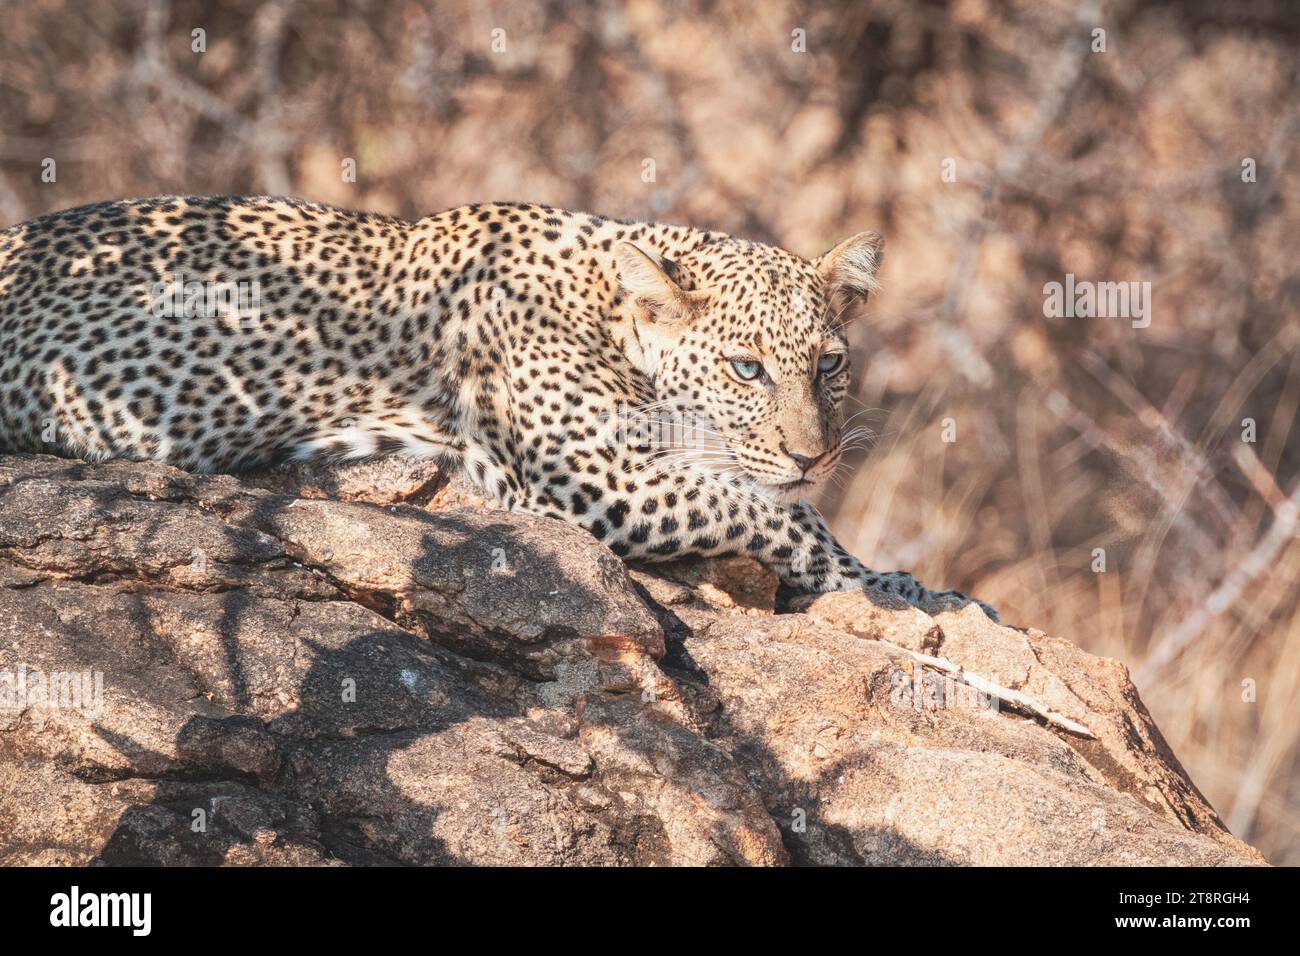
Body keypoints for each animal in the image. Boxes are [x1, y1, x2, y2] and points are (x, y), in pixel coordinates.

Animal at [0, 195, 996, 619]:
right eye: (746, 369)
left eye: (830, 365)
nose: (813, 456)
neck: (603, 298)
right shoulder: (590, 477)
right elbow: (777, 517)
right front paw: (906, 591)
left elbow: (770, 506)